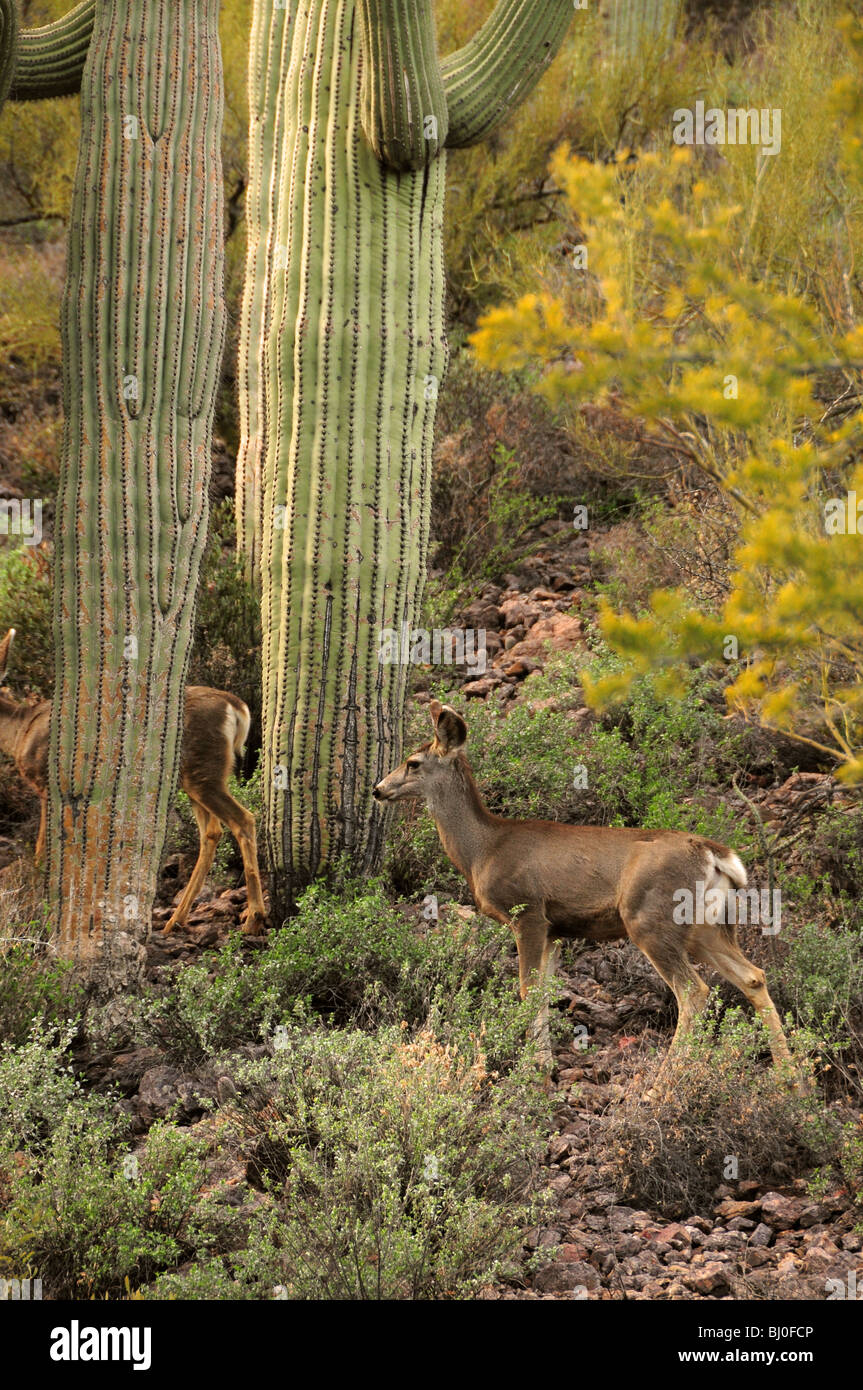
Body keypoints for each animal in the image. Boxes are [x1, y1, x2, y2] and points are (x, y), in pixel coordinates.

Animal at [0, 628, 267, 935]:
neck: (20, 730)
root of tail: (237, 708)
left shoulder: (48, 786)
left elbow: (42, 849)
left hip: (205, 771)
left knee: (243, 820)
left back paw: (253, 918)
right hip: (196, 776)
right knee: (212, 832)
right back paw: (175, 920)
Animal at [374, 699, 799, 1091]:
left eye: (413, 762)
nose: (378, 789)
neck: (483, 850)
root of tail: (715, 854)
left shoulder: (528, 912)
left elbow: (528, 991)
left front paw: (530, 1070)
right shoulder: (554, 930)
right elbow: (544, 994)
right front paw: (544, 1064)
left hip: (650, 917)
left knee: (694, 990)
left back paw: (663, 1082)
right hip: (707, 927)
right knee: (753, 976)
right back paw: (791, 1079)